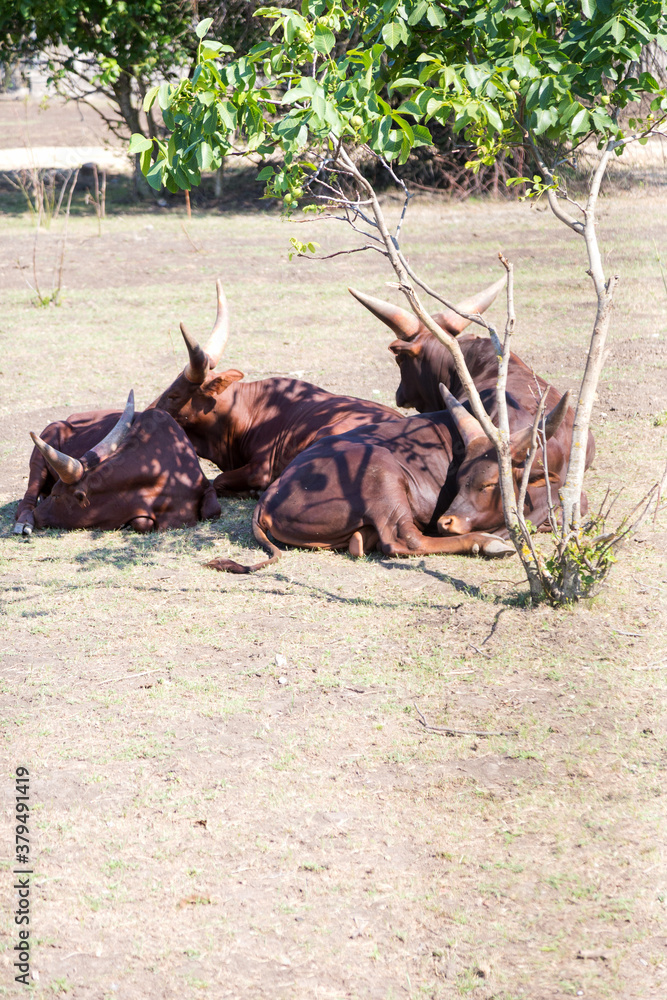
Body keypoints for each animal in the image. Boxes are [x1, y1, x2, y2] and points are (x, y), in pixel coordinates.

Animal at [20, 391, 221, 532]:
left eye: (57, 496)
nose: (37, 515)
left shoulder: (205, 486)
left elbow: (213, 511)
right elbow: (142, 522)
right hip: (41, 452)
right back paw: (23, 521)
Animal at [202, 397, 576, 574]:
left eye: (490, 484)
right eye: (459, 479)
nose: (447, 521)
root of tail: (268, 497)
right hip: (383, 479)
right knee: (402, 541)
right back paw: (486, 543)